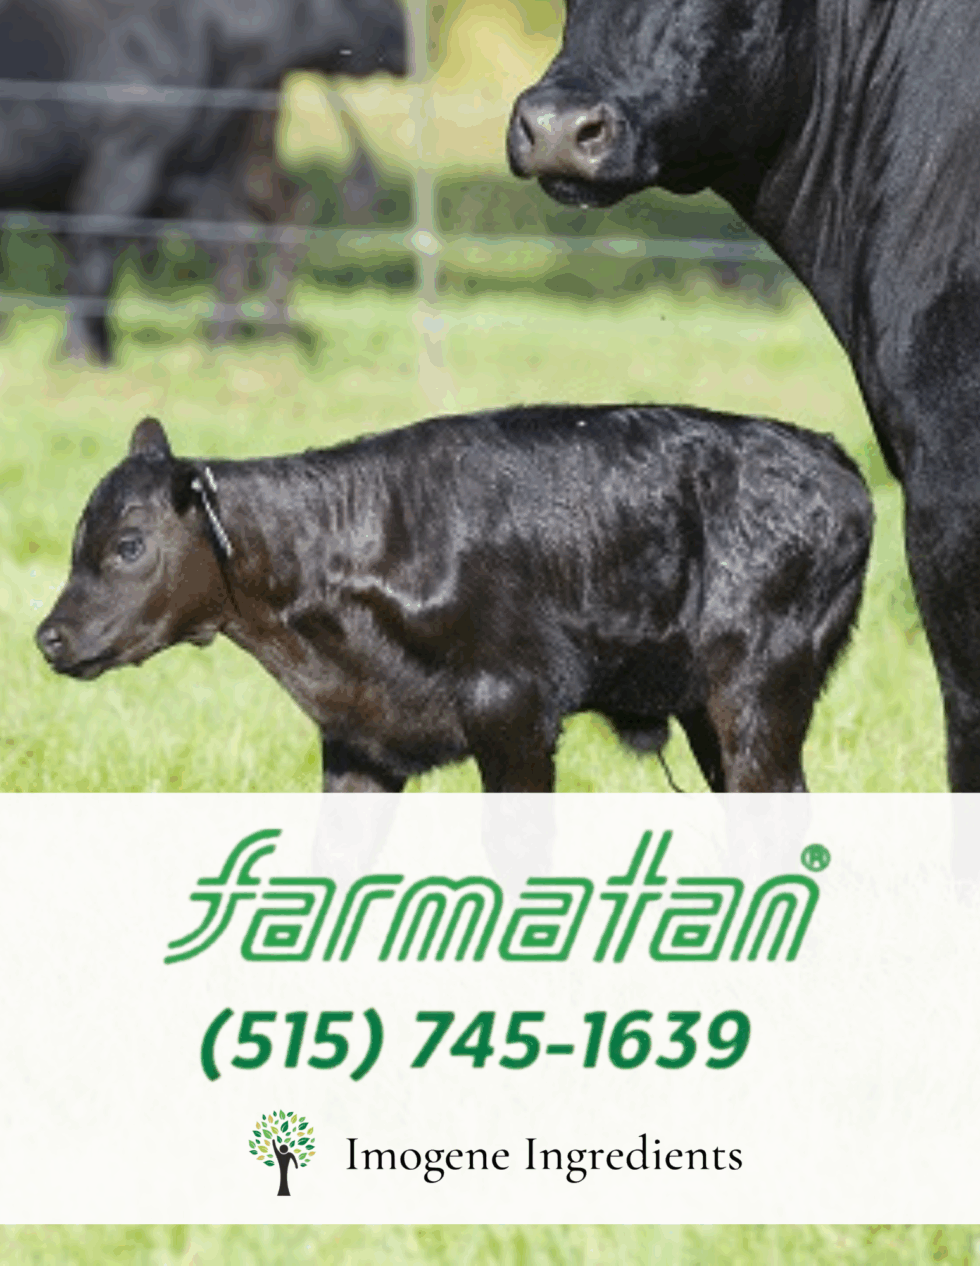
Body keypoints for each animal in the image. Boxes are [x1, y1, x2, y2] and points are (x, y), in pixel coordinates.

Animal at [0, 0, 404, 363]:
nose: (403, 40)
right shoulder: (121, 165)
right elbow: (88, 259)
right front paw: (84, 357)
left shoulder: (133, 166)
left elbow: (90, 260)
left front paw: (84, 358)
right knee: (256, 229)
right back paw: (244, 338)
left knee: (264, 225)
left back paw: (249, 340)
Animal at [35, 408, 872, 793]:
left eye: (129, 545)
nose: (49, 637)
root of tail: (829, 454)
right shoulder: (358, 741)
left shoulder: (515, 715)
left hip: (762, 692)